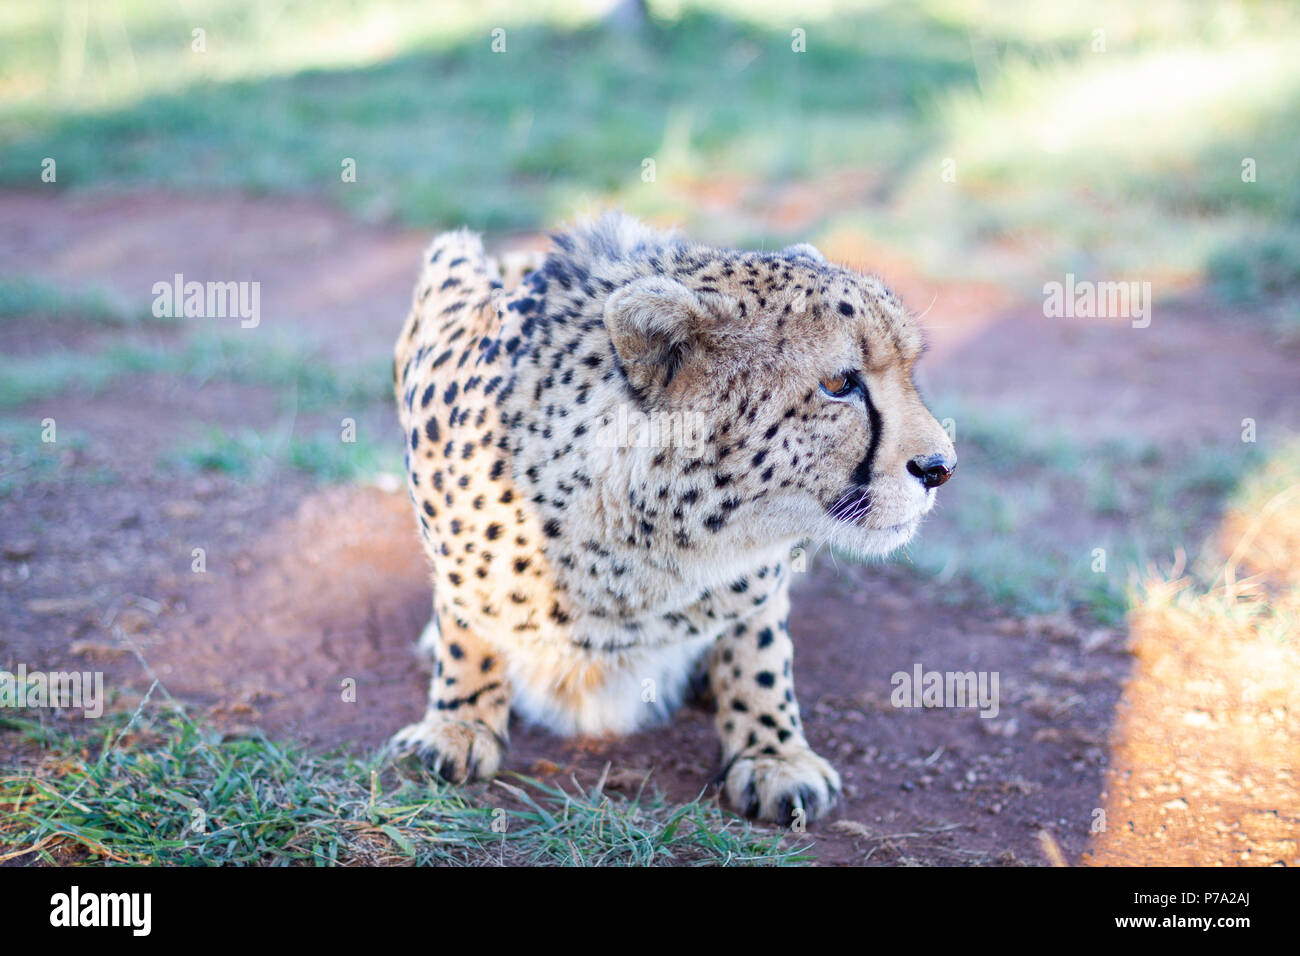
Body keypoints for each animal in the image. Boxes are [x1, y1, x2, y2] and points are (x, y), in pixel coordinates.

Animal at [389, 212, 955, 823]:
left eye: (907, 370)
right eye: (837, 384)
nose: (941, 468)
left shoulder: (758, 569)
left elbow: (759, 647)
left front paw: (774, 755)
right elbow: (466, 613)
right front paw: (458, 723)